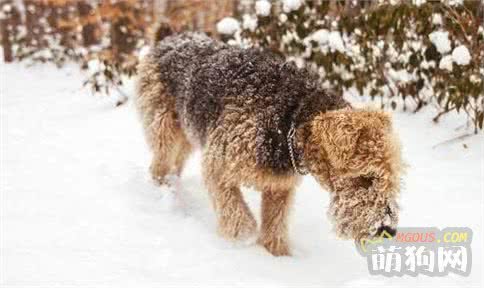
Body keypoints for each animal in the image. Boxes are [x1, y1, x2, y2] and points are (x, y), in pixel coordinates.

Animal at [134, 26, 402, 256]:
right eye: (366, 178)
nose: (387, 230)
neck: (291, 121)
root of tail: (169, 38)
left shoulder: (278, 188)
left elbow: (275, 227)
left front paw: (278, 257)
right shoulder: (218, 167)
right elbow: (237, 214)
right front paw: (243, 239)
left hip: (186, 133)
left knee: (174, 165)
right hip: (164, 129)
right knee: (158, 166)